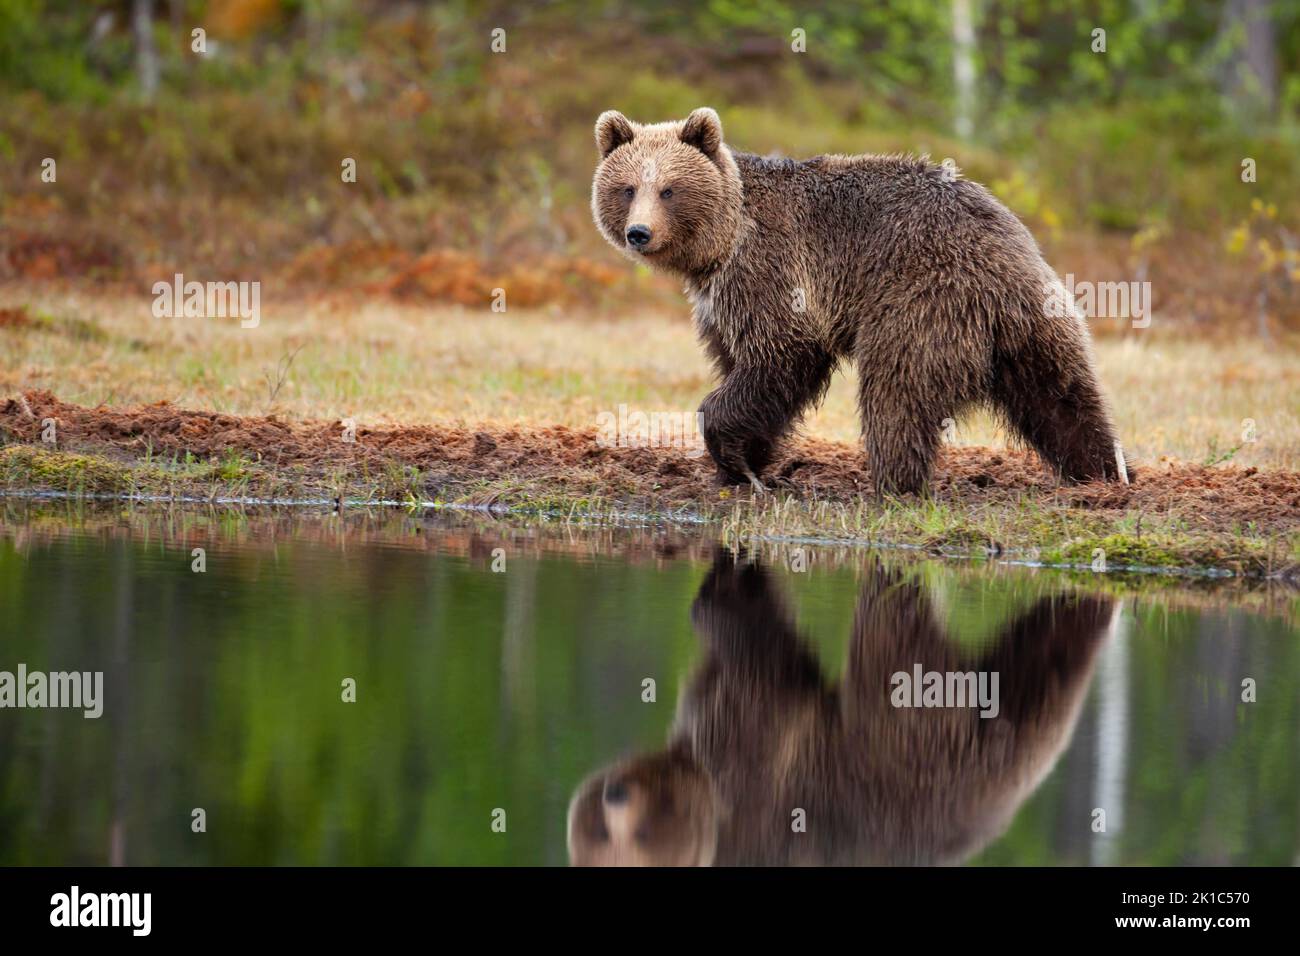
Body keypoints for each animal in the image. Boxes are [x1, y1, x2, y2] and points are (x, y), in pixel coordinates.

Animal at [567, 549, 1118, 866]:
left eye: (643, 834)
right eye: (597, 830)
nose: (615, 793)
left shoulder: (758, 768)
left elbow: (756, 677)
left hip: (919, 738)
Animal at [591, 107, 1129, 495]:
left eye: (669, 189)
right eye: (627, 187)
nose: (639, 233)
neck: (719, 246)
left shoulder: (771, 269)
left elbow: (781, 355)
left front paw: (730, 449)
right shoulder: (717, 300)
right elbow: (738, 361)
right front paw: (743, 465)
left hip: (920, 301)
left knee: (896, 394)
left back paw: (893, 484)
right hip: (1042, 318)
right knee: (1064, 397)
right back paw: (1102, 473)